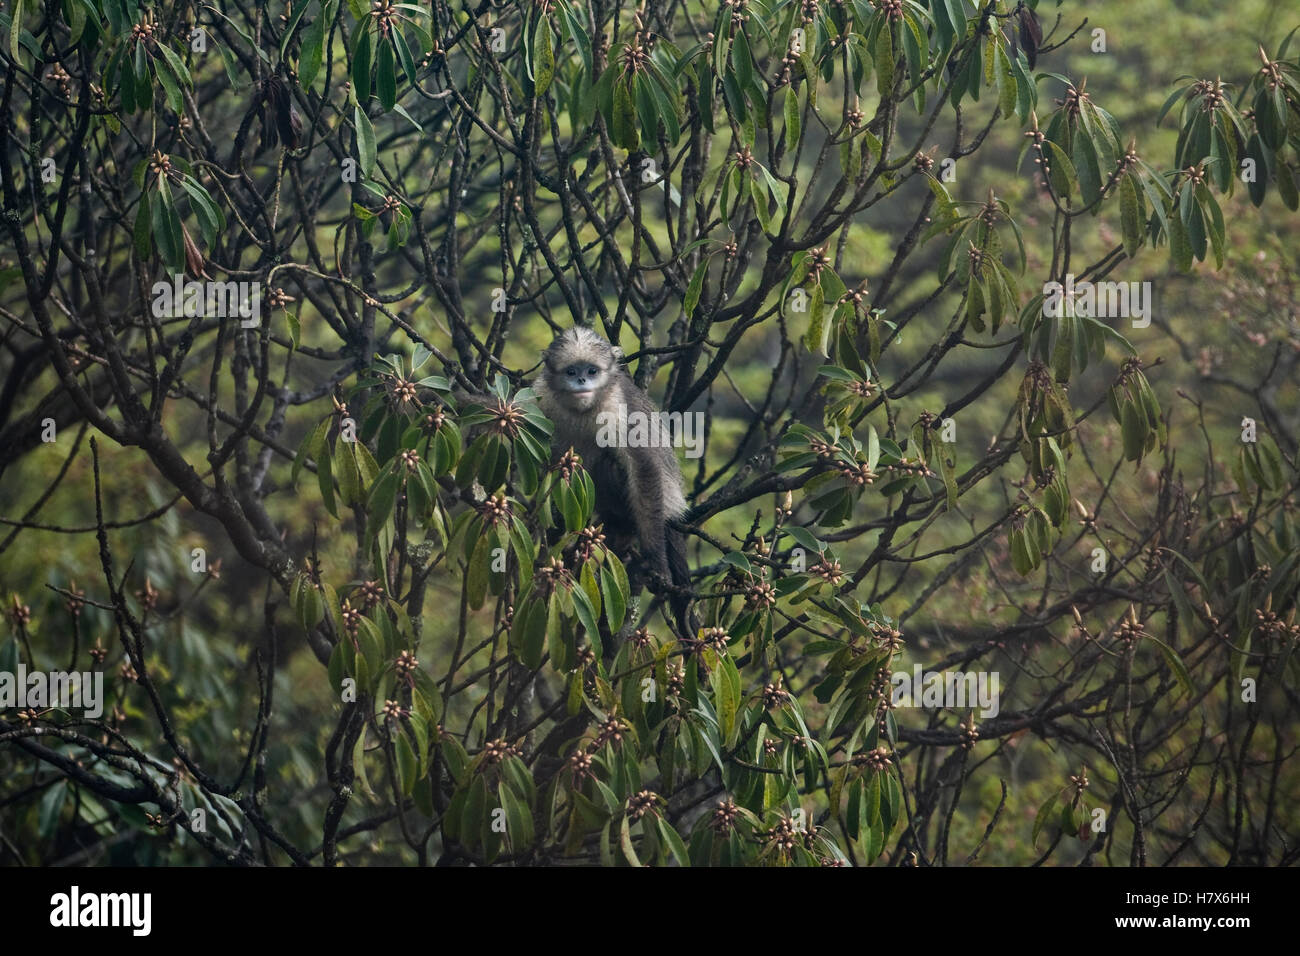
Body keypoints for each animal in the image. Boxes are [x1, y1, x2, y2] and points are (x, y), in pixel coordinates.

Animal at [531, 327, 696, 640]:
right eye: (571, 371)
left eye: (592, 371)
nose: (582, 381)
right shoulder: (542, 398)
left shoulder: (618, 406)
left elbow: (644, 469)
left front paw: (657, 564)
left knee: (612, 461)